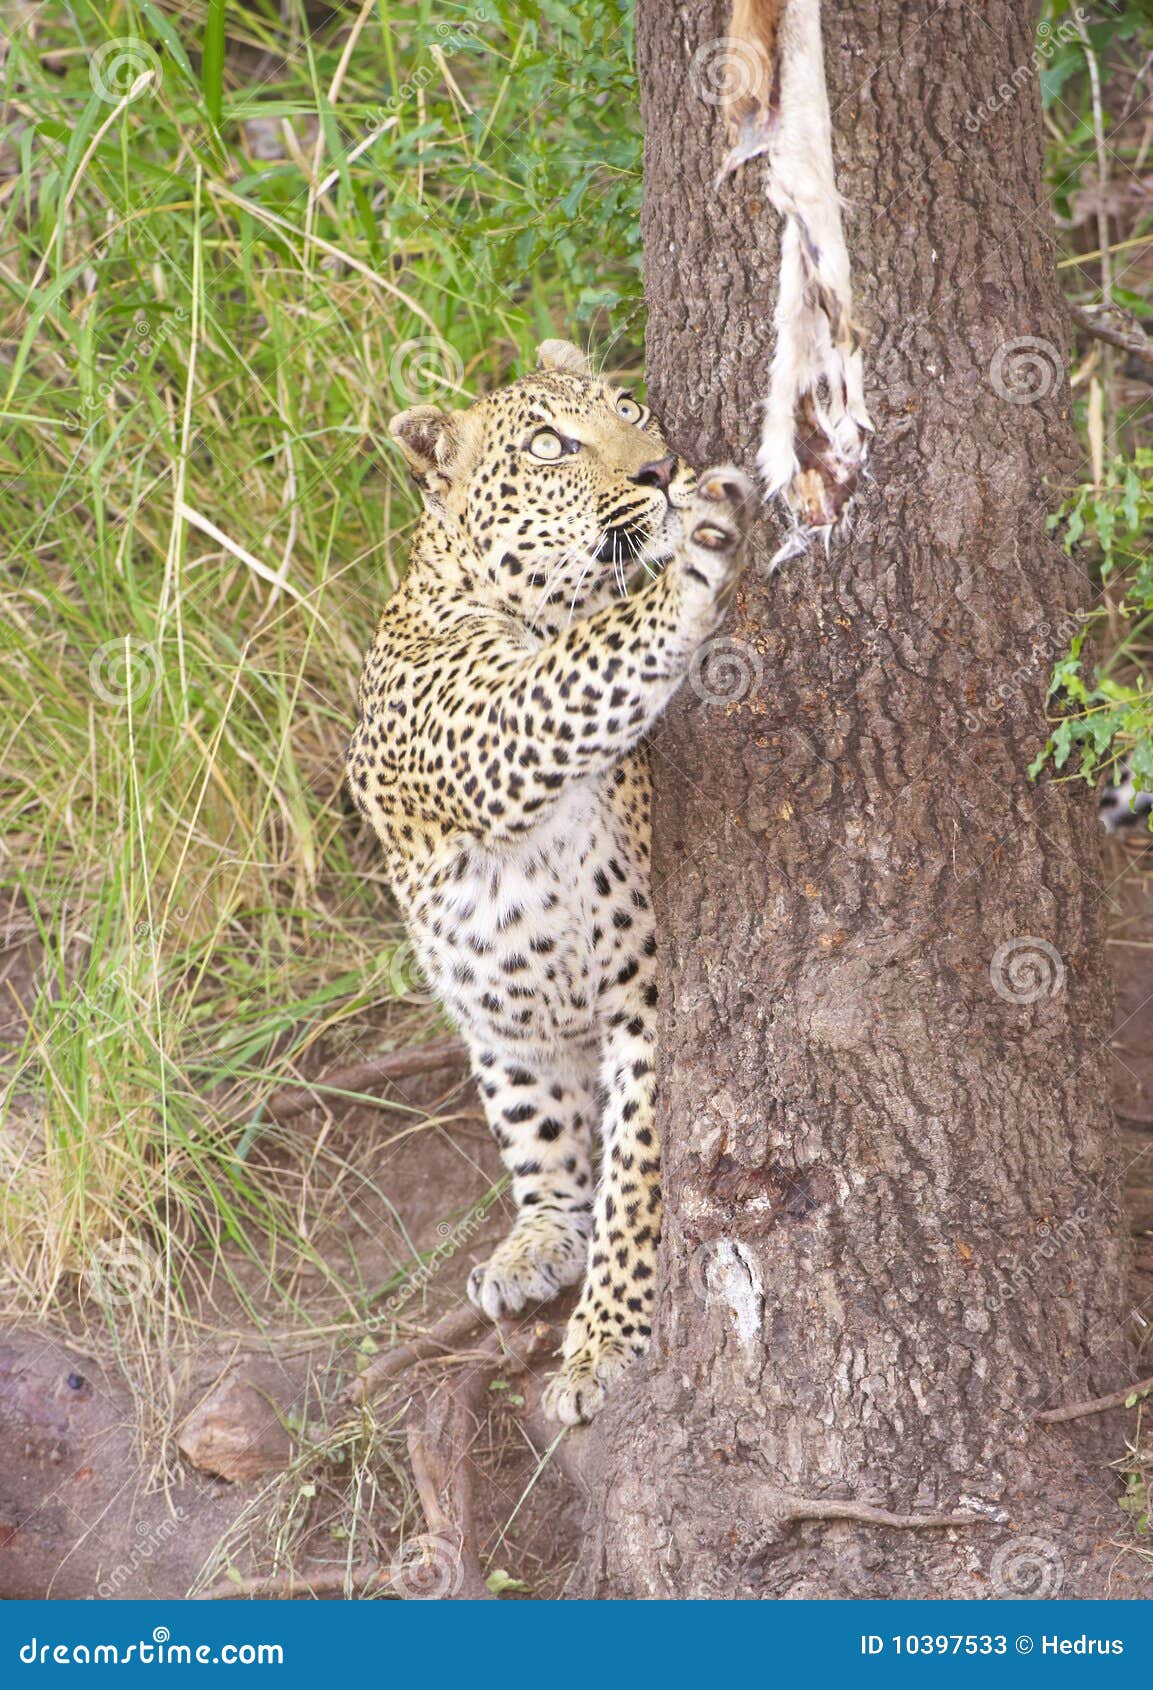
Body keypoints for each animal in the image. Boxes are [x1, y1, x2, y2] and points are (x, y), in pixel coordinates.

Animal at [347, 339, 754, 1423]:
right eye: (547, 447)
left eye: (629, 406)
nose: (658, 468)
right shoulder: (494, 730)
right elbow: (587, 664)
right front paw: (696, 552)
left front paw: (604, 1342)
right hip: (503, 1035)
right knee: (550, 1153)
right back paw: (534, 1246)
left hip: (630, 1012)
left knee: (628, 1169)